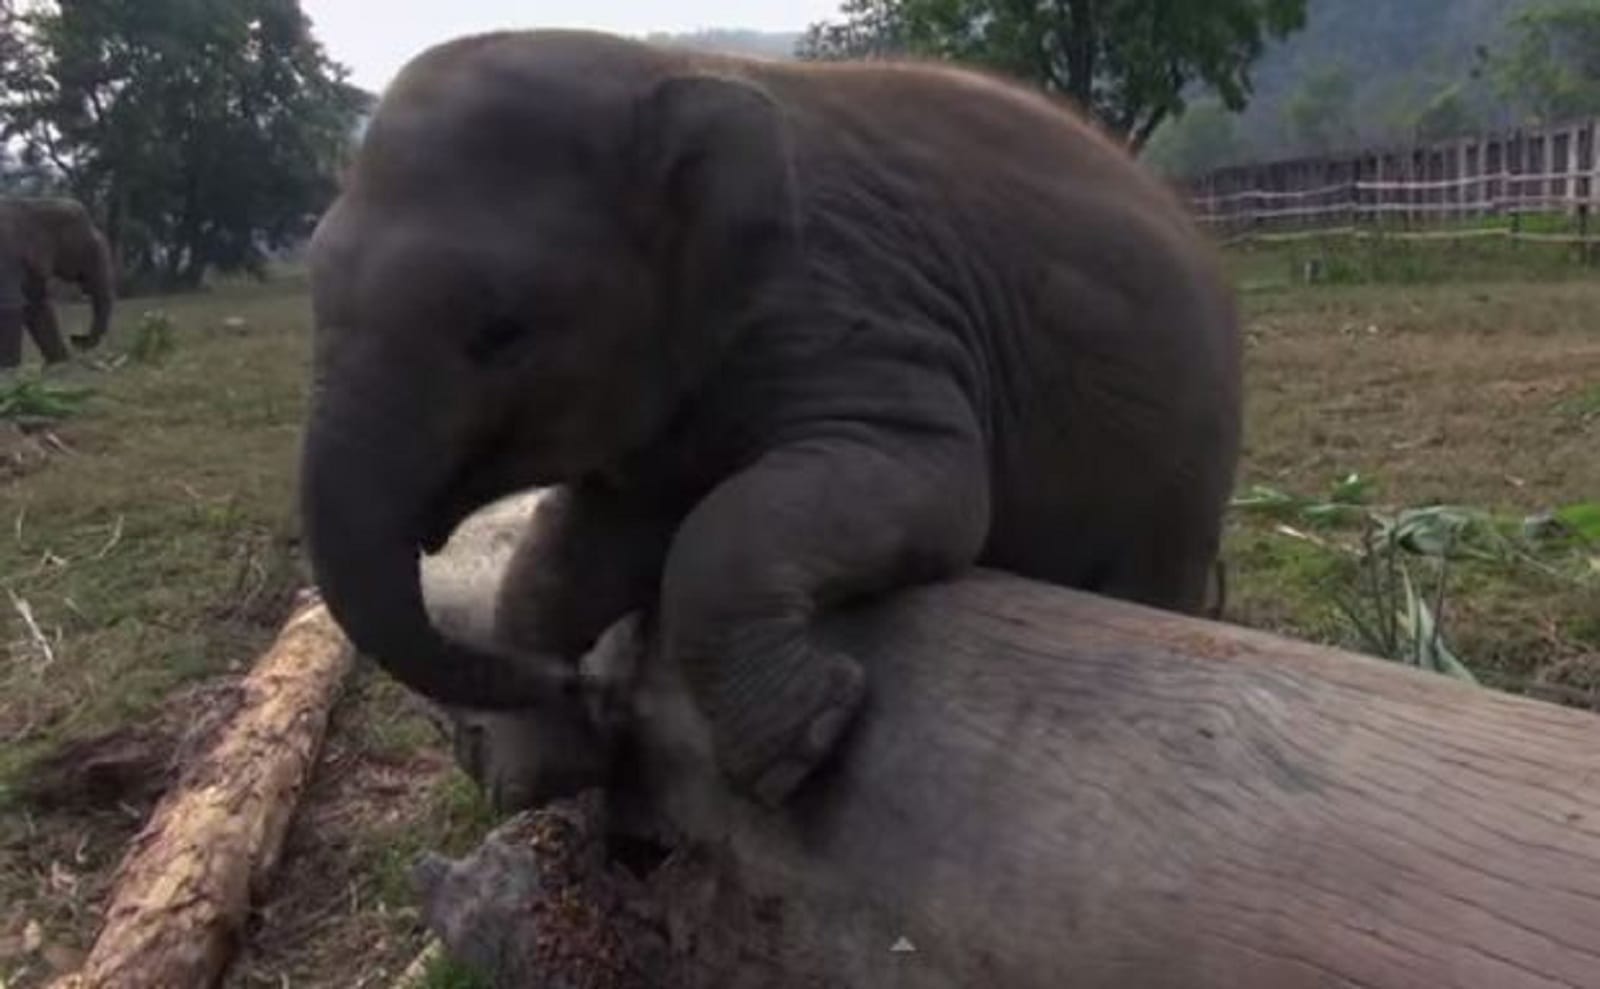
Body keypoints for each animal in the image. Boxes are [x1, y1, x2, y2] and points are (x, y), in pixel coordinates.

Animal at [0, 196, 115, 371]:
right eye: (85, 237)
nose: (76, 338)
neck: (31, 205)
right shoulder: (7, 255)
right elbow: (10, 306)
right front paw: (8, 370)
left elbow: (37, 306)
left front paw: (58, 364)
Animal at [299, 29, 1243, 811]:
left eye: (500, 332)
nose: (583, 686)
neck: (660, 67)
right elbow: (567, 554)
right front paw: (542, 776)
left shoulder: (854, 308)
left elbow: (904, 492)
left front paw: (800, 753)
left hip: (1184, 471)